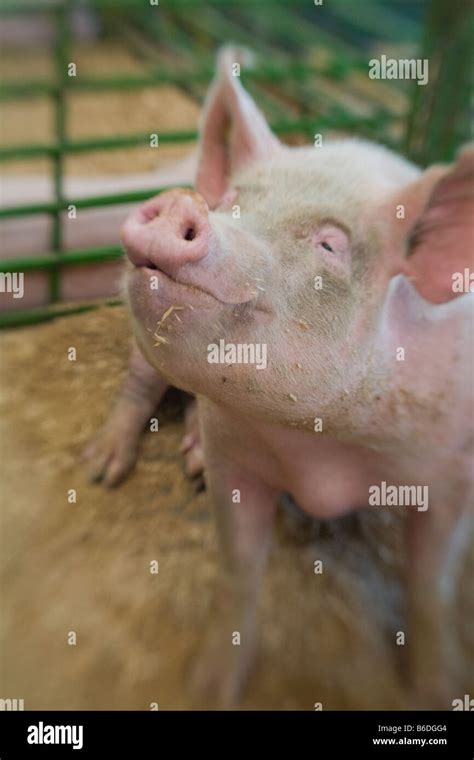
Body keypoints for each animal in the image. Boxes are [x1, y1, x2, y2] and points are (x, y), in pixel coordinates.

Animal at [84, 48, 474, 708]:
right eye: (233, 200)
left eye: (330, 246)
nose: (184, 203)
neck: (323, 451)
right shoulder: (235, 459)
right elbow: (240, 566)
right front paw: (210, 687)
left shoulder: (451, 475)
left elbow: (429, 582)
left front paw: (438, 688)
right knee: (139, 385)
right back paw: (102, 470)